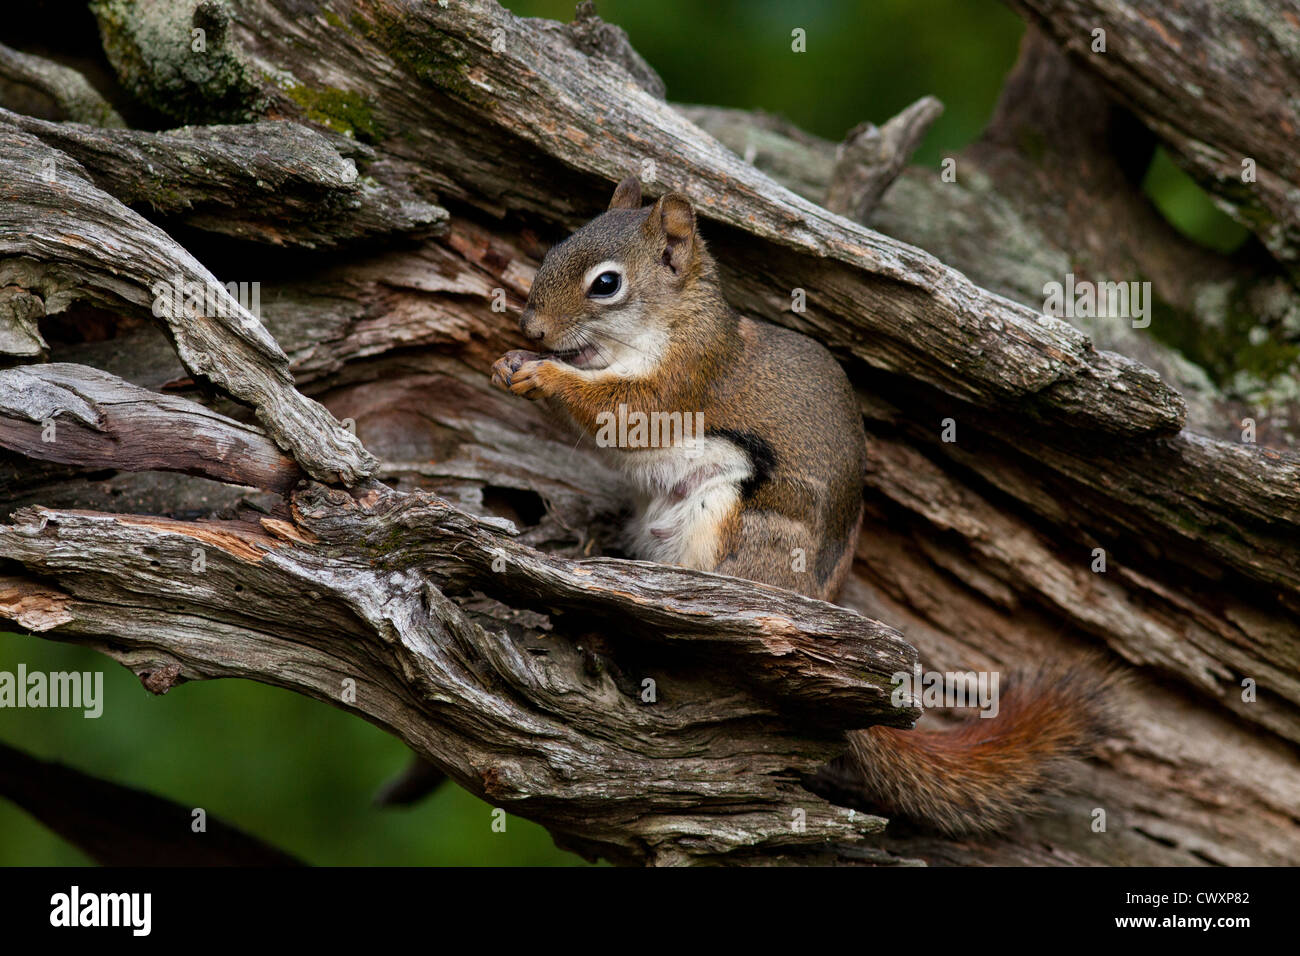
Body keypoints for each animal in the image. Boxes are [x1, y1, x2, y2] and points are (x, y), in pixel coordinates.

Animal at [490, 175, 1118, 835]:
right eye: (557, 245)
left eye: (607, 284)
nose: (532, 330)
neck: (669, 325)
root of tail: (818, 597)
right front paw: (512, 362)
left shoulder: (683, 382)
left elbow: (622, 413)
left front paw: (544, 375)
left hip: (731, 528)